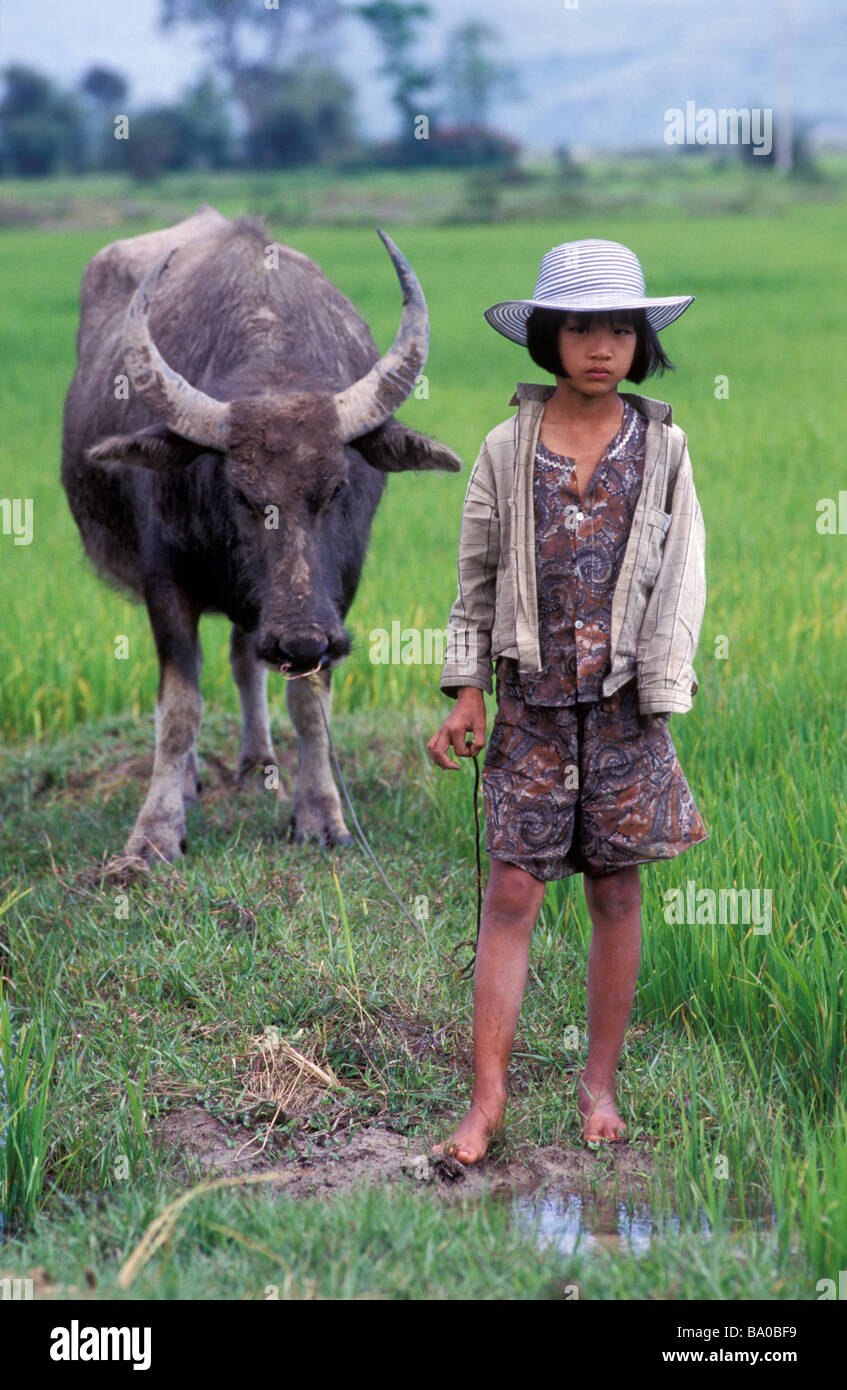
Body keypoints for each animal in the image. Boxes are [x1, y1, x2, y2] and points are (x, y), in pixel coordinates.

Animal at [61, 204, 460, 865]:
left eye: (338, 487)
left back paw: (257, 763)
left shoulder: (335, 595)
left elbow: (309, 702)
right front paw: (155, 833)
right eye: (242, 494)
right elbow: (180, 707)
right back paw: (195, 780)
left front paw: (320, 814)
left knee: (244, 656)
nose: (299, 638)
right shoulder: (164, 583)